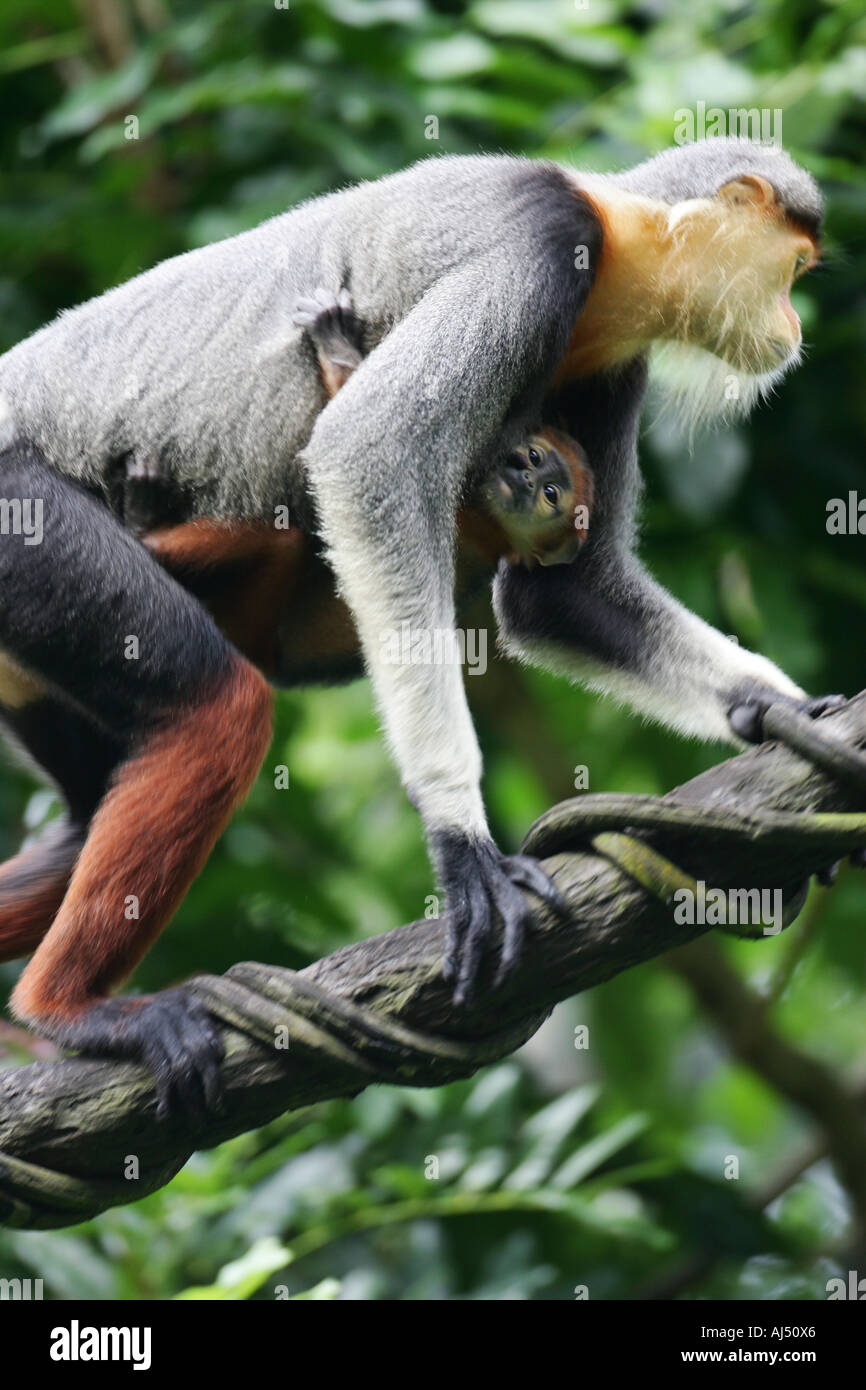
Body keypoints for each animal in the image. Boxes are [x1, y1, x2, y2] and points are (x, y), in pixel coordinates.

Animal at [0, 138, 844, 1111]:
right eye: (794, 269)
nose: (792, 323)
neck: (616, 230)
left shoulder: (608, 354)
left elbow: (565, 594)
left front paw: (780, 710)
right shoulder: (540, 249)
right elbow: (369, 455)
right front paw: (459, 838)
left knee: (88, 810)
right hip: (22, 524)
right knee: (219, 708)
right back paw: (71, 1011)